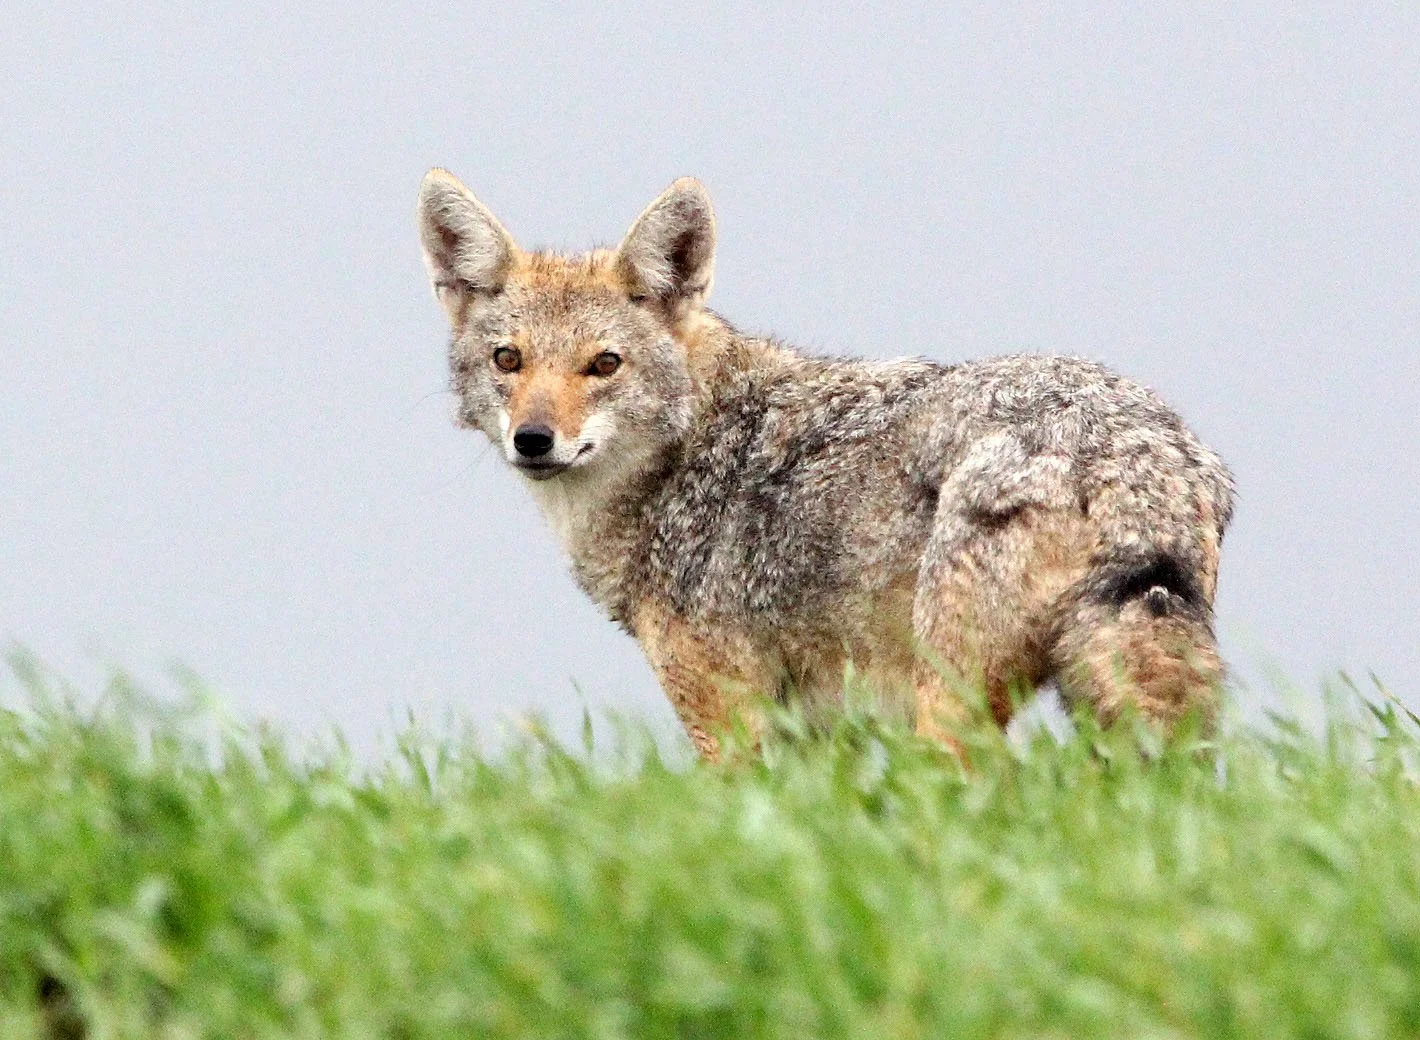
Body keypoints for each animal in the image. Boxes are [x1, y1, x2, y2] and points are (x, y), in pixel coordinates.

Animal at [417, 170, 1234, 759]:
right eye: (508, 360)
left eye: (604, 365)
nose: (533, 440)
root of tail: (1129, 446)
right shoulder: (813, 730)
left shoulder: (726, 718)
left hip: (951, 703)